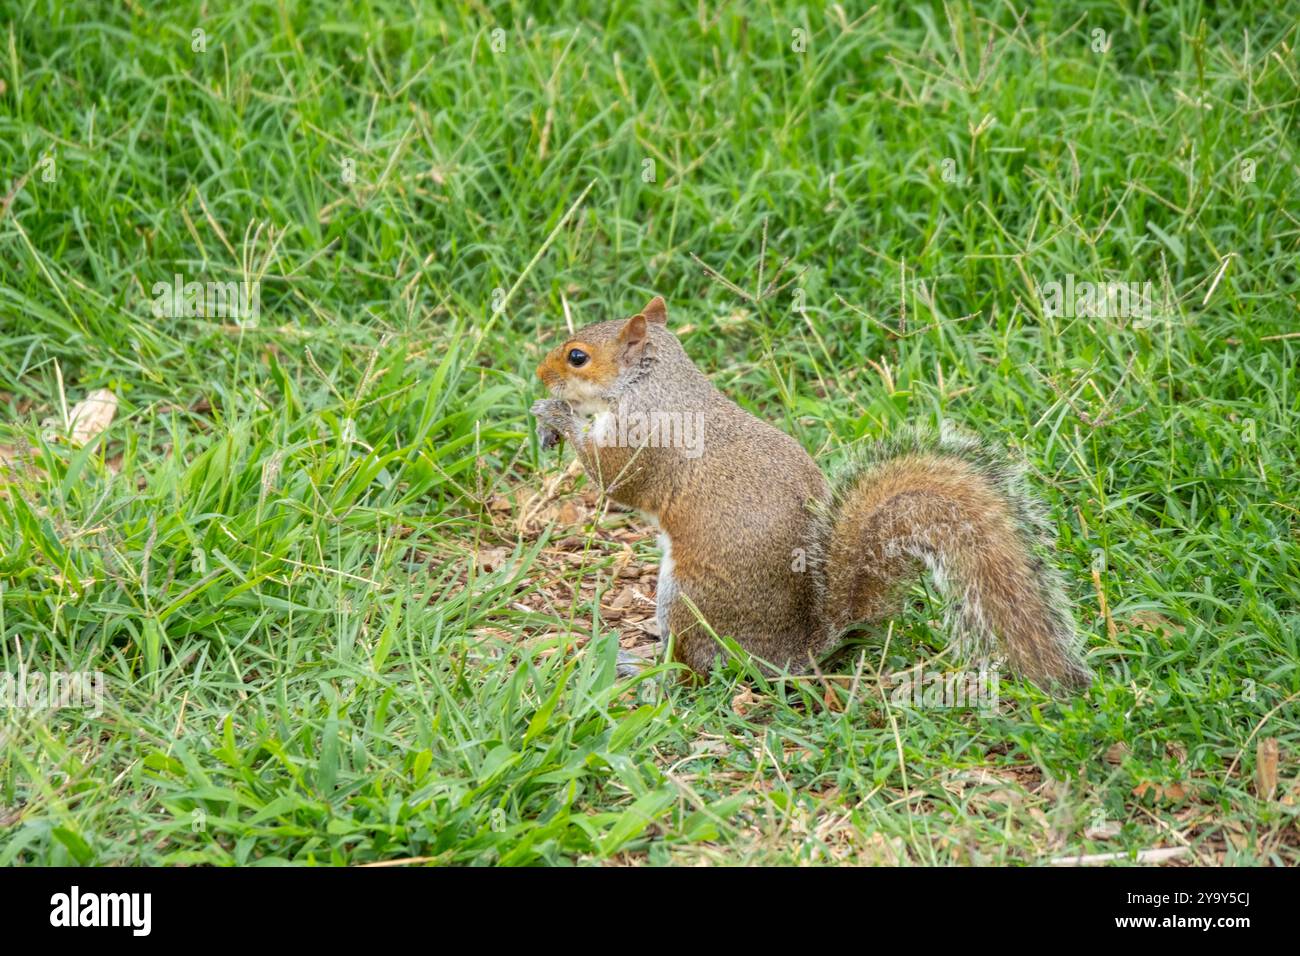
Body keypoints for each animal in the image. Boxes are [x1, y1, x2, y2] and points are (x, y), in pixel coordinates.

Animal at [531, 296, 1091, 692]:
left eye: (577, 357)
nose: (539, 374)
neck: (653, 386)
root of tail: (792, 651)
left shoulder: (648, 440)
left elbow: (616, 480)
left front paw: (556, 416)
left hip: (688, 598)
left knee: (692, 668)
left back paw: (647, 666)